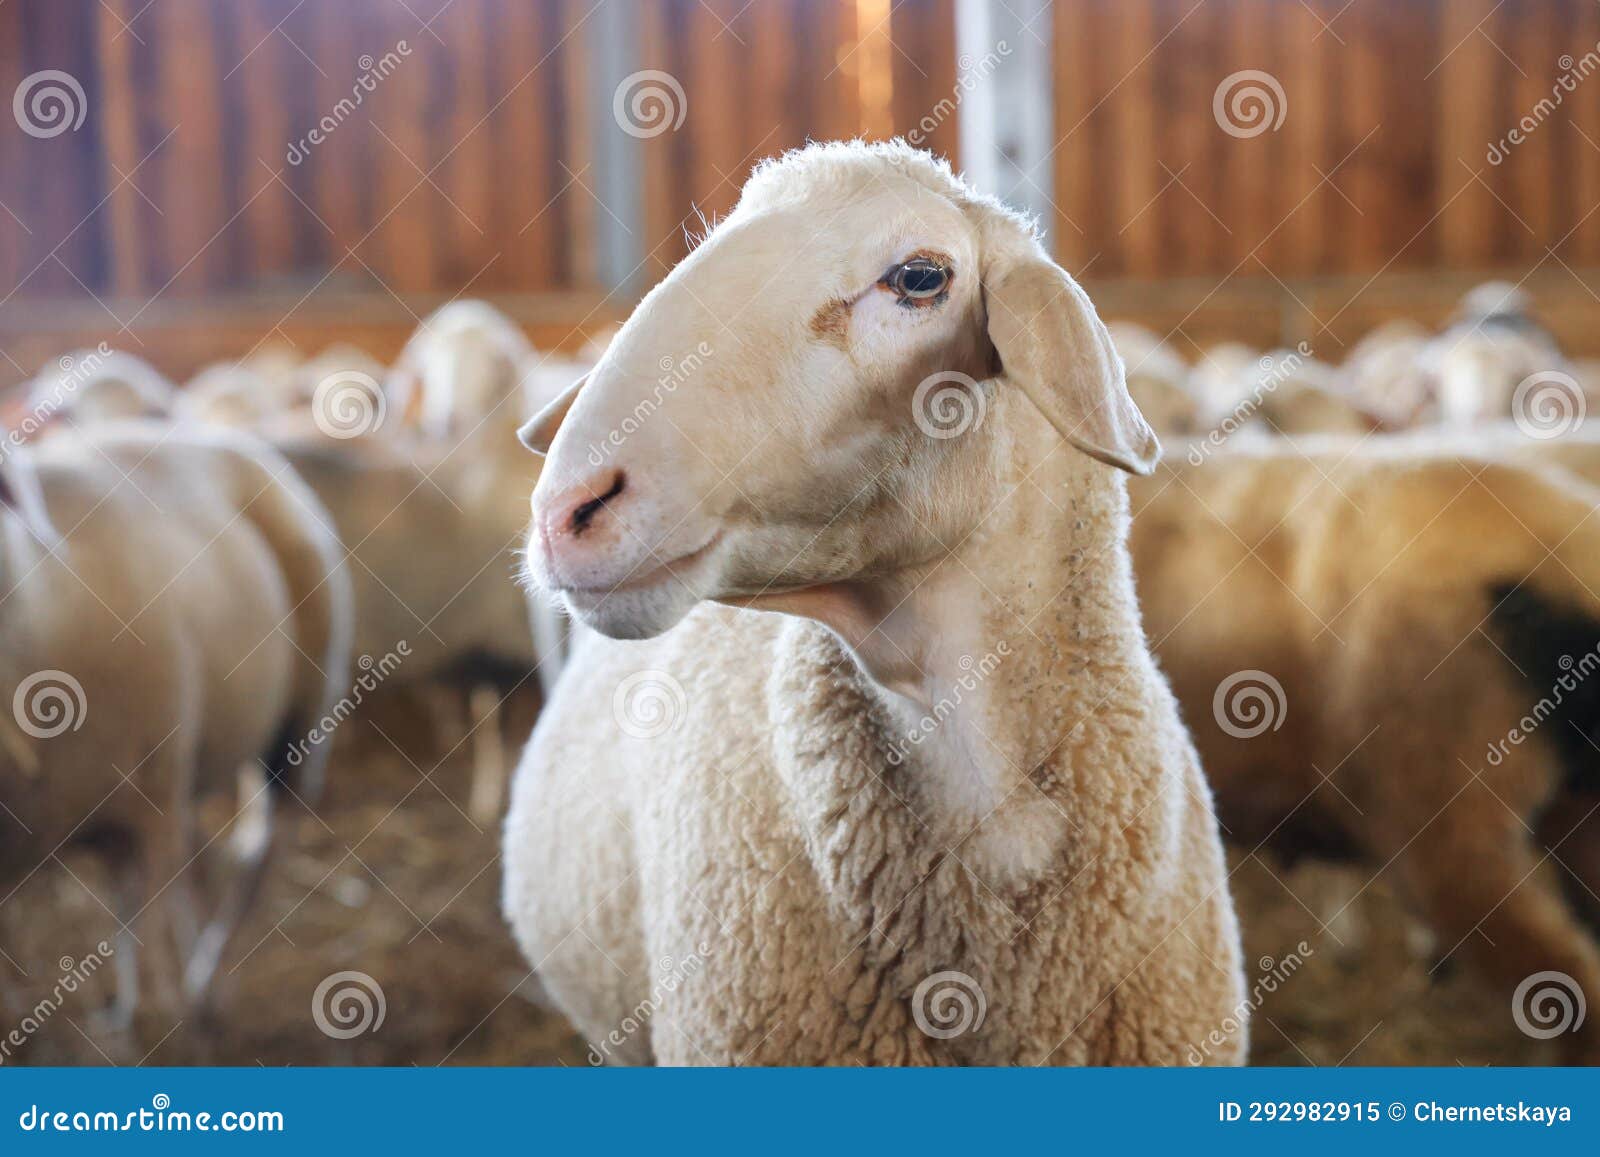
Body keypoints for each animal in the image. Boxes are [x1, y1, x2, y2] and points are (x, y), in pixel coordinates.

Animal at [0, 422, 351, 1027]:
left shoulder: (151, 797)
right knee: (197, 864)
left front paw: (158, 1015)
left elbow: (148, 927)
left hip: (297, 727)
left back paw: (209, 980)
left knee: (257, 854)